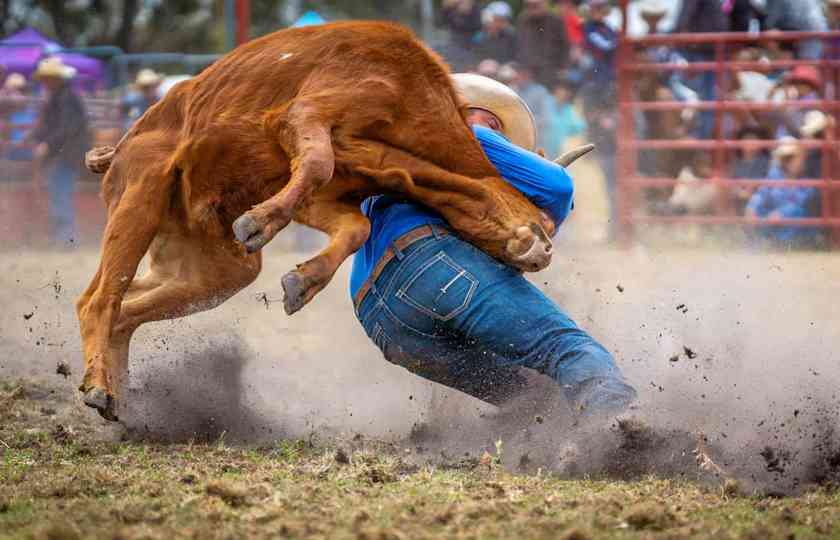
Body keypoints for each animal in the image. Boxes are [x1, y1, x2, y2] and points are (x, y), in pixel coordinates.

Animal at [78, 21, 584, 421]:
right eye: (541, 212)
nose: (543, 252)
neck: (409, 88)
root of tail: (119, 144)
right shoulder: (302, 117)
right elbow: (318, 161)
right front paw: (259, 222)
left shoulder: (338, 182)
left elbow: (352, 224)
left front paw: (301, 282)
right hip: (140, 196)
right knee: (98, 301)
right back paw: (100, 386)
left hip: (216, 271)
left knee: (127, 310)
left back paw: (120, 399)